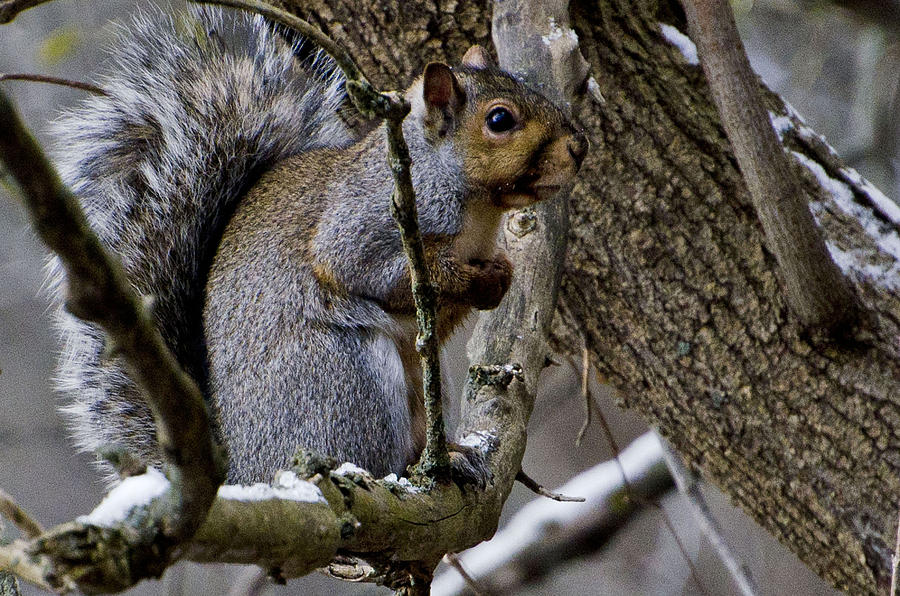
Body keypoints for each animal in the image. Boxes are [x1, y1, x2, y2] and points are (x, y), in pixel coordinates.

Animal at [47, 7, 587, 485]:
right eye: (499, 121)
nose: (578, 146)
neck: (478, 210)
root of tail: (242, 476)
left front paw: (500, 277)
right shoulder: (365, 225)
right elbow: (360, 270)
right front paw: (466, 275)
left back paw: (448, 454)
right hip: (347, 376)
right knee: (374, 455)